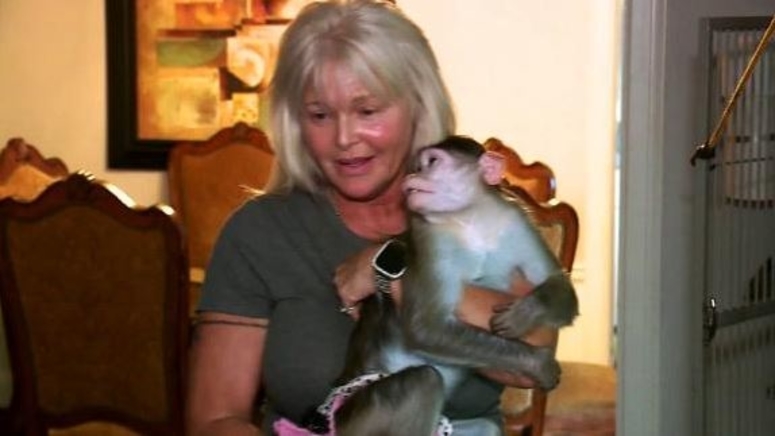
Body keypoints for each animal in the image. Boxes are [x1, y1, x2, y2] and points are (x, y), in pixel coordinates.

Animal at [277, 135, 579, 436]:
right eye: (416, 166)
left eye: (431, 162)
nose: (412, 176)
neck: (472, 221)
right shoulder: (429, 233)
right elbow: (427, 328)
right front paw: (537, 362)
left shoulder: (515, 221)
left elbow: (559, 284)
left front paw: (525, 314)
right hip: (353, 418)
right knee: (422, 381)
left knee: (485, 427)